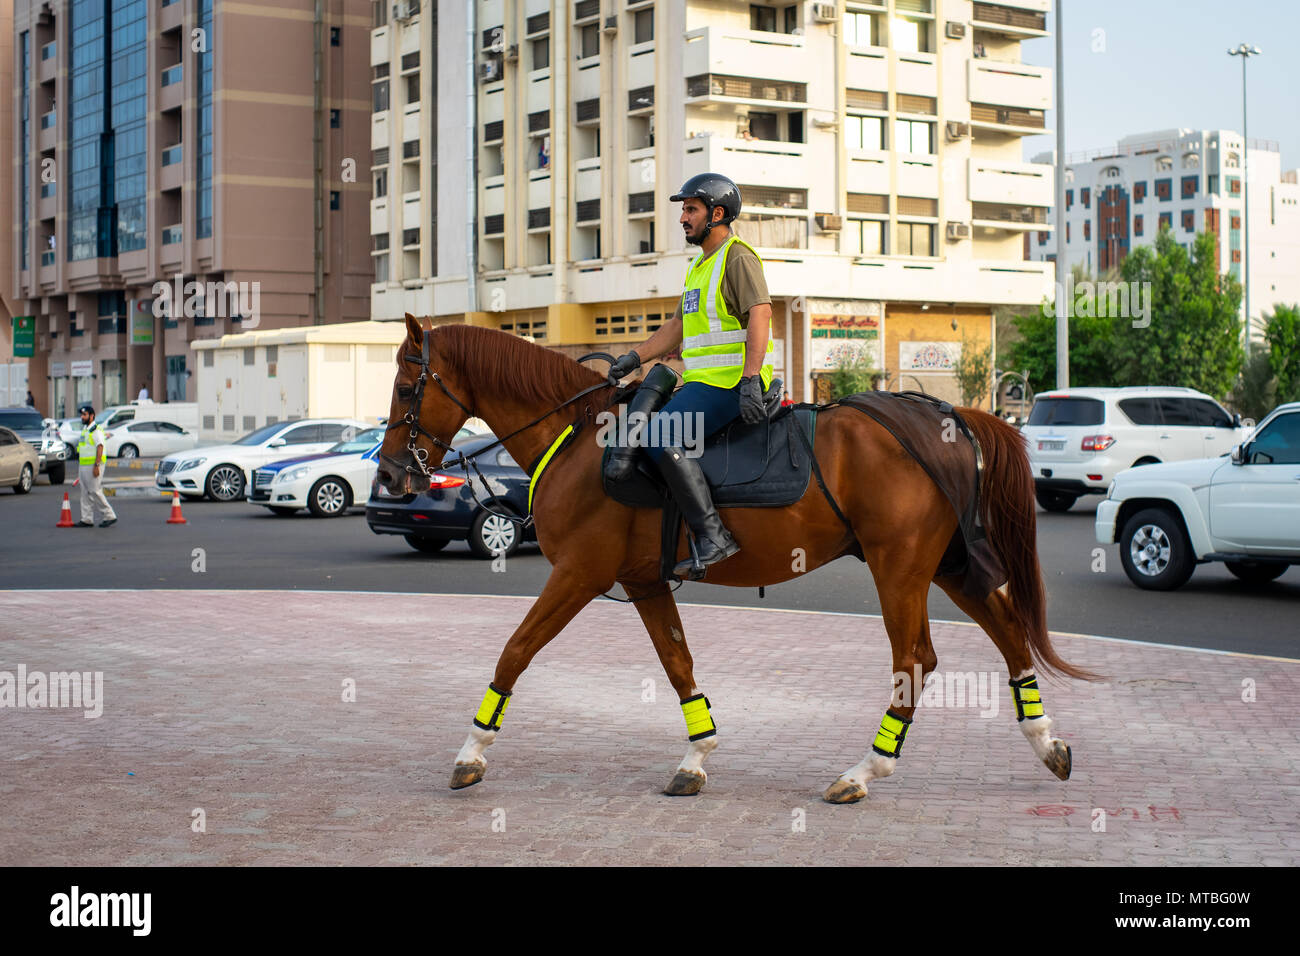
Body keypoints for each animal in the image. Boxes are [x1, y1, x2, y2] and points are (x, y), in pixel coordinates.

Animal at [376, 315, 1095, 803]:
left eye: (407, 386)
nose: (388, 477)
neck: (581, 436)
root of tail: (948, 415)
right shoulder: (642, 583)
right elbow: (678, 666)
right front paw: (697, 756)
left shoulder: (578, 574)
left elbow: (515, 651)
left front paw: (473, 751)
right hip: (945, 565)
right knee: (1008, 633)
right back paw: (1046, 741)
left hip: (900, 570)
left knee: (915, 661)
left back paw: (866, 769)